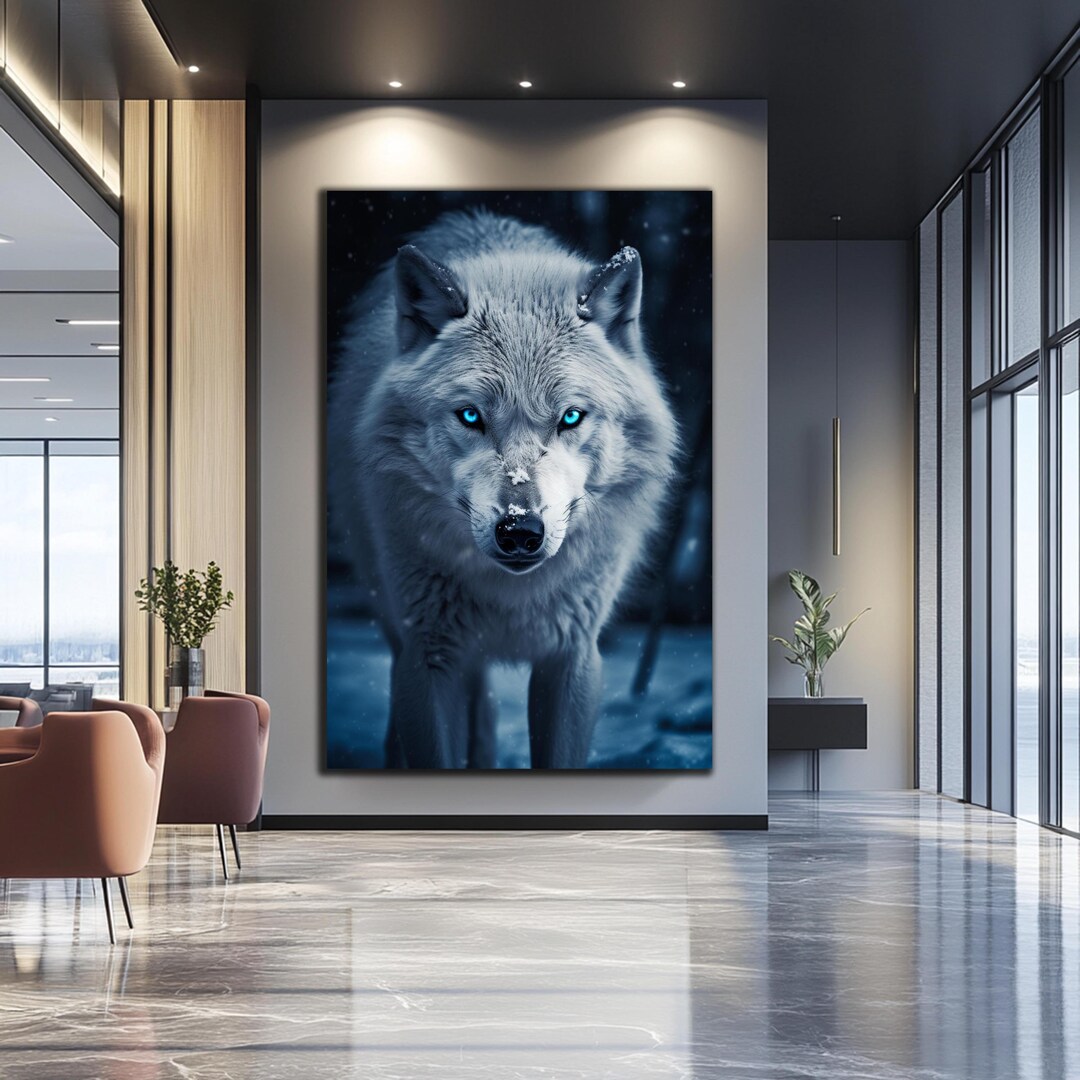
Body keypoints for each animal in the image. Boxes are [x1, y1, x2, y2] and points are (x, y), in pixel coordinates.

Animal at [328, 208, 679, 769]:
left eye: (571, 417)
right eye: (471, 416)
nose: (519, 530)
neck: (510, 598)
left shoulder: (572, 657)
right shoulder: (428, 654)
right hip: (392, 619)